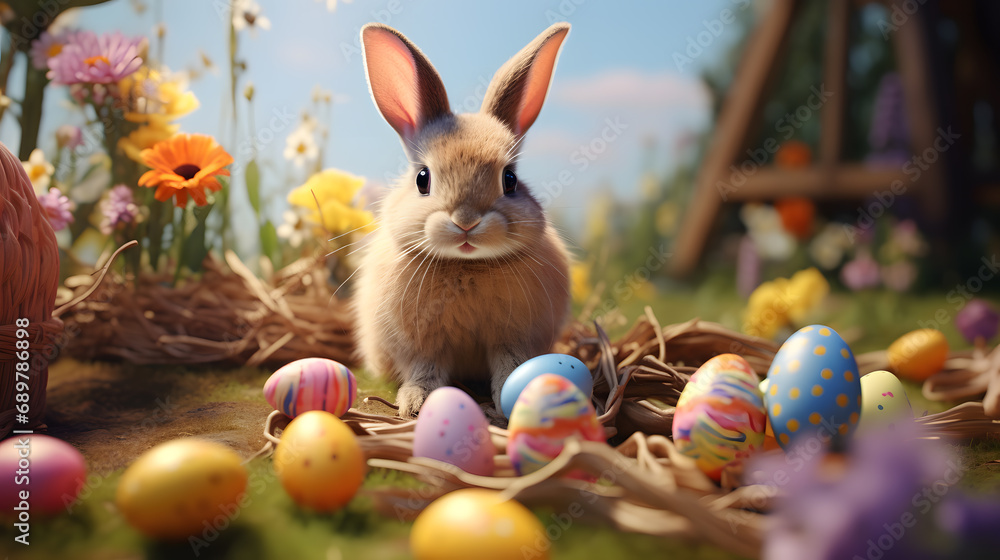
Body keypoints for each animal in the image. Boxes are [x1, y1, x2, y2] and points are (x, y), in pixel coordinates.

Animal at [354, 22, 573, 419]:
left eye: (510, 179)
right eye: (422, 179)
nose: (466, 221)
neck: (466, 264)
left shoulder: (512, 339)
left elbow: (509, 366)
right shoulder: (421, 346)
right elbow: (424, 369)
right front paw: (415, 404)